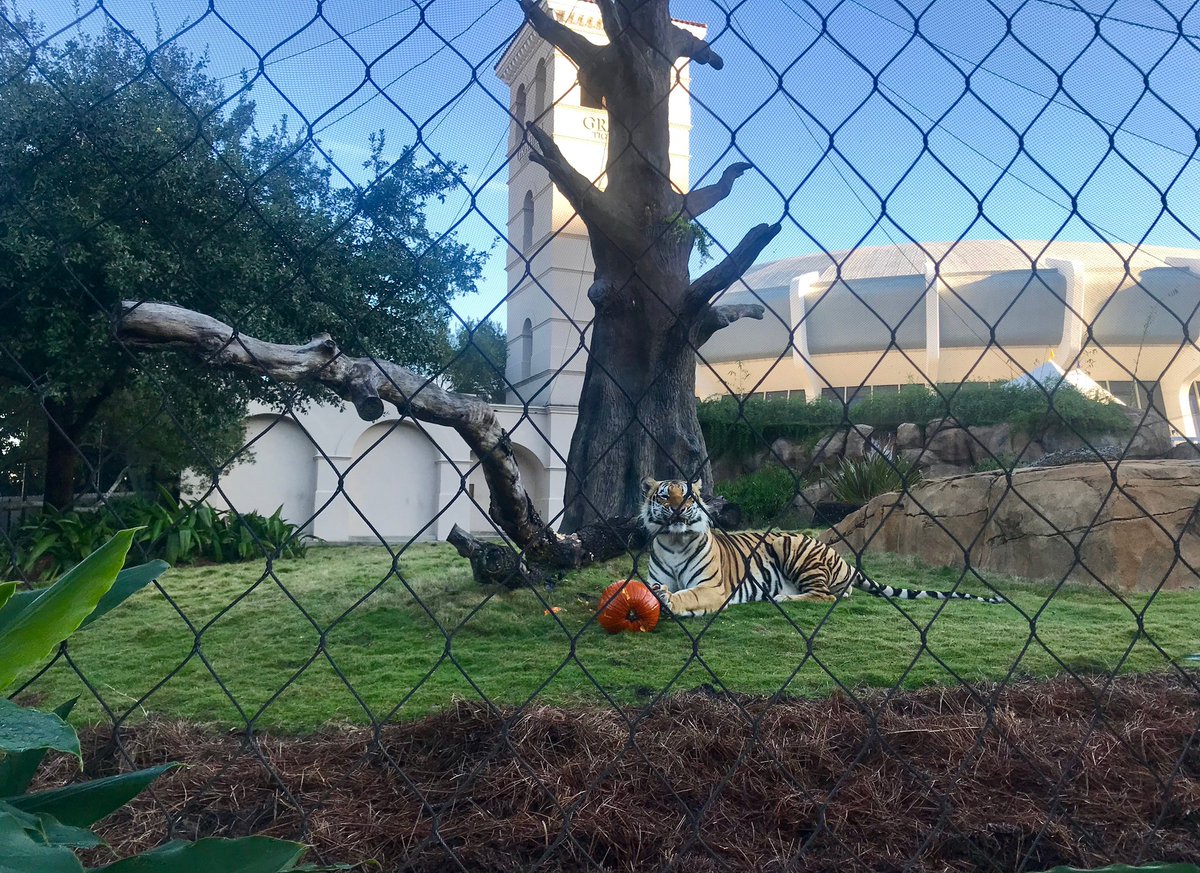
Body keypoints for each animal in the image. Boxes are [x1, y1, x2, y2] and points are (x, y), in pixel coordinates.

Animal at [639, 476, 1004, 617]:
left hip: (791, 547)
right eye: (665, 495)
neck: (674, 540)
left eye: (687, 496)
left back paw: (784, 598)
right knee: (838, 593)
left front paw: (669, 600)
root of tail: (840, 557)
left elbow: (688, 595)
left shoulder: (713, 587)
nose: (676, 510)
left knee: (824, 595)